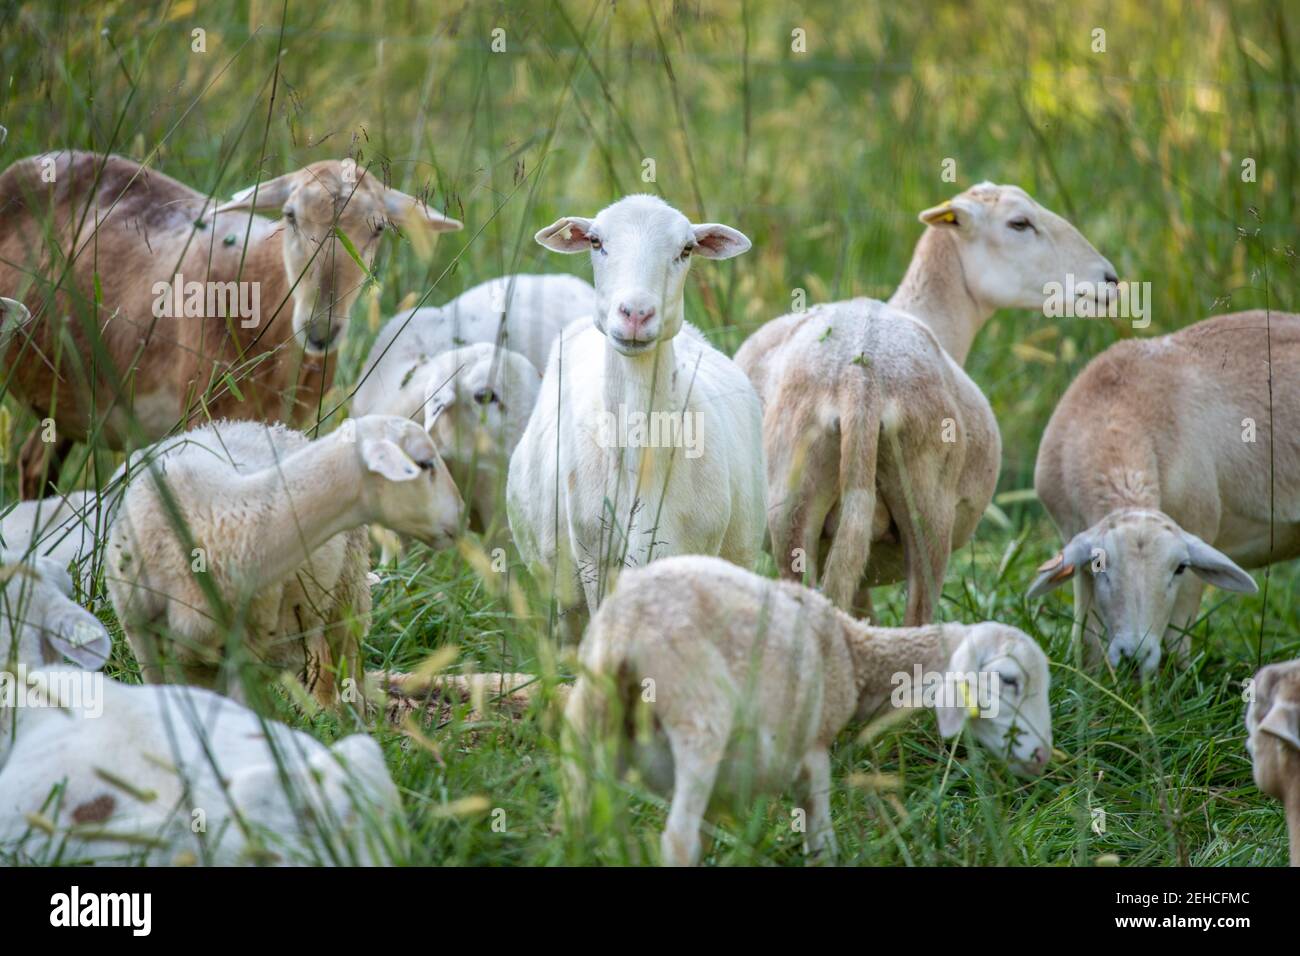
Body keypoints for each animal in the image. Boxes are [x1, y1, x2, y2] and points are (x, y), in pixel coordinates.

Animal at [104, 414, 464, 706]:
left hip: (347, 603)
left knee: (351, 684)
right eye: (425, 463)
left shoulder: (245, 646)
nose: (462, 514)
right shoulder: (140, 633)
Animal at [563, 555, 1053, 866]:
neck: (853, 651)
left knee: (580, 828)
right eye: (1010, 680)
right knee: (677, 843)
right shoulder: (812, 750)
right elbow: (821, 843)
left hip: (587, 728)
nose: (1042, 757)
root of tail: (626, 633)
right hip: (698, 724)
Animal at [735, 182, 1117, 623]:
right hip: (928, 508)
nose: (1110, 279)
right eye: (1019, 223)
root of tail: (859, 379)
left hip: (792, 505)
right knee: (918, 619)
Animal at [1028, 311, 1288, 674]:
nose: (1134, 656)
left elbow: (1177, 642)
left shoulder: (1198, 530)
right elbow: (1087, 642)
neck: (1114, 406)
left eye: (1179, 568)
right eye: (1099, 564)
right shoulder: (1072, 537)